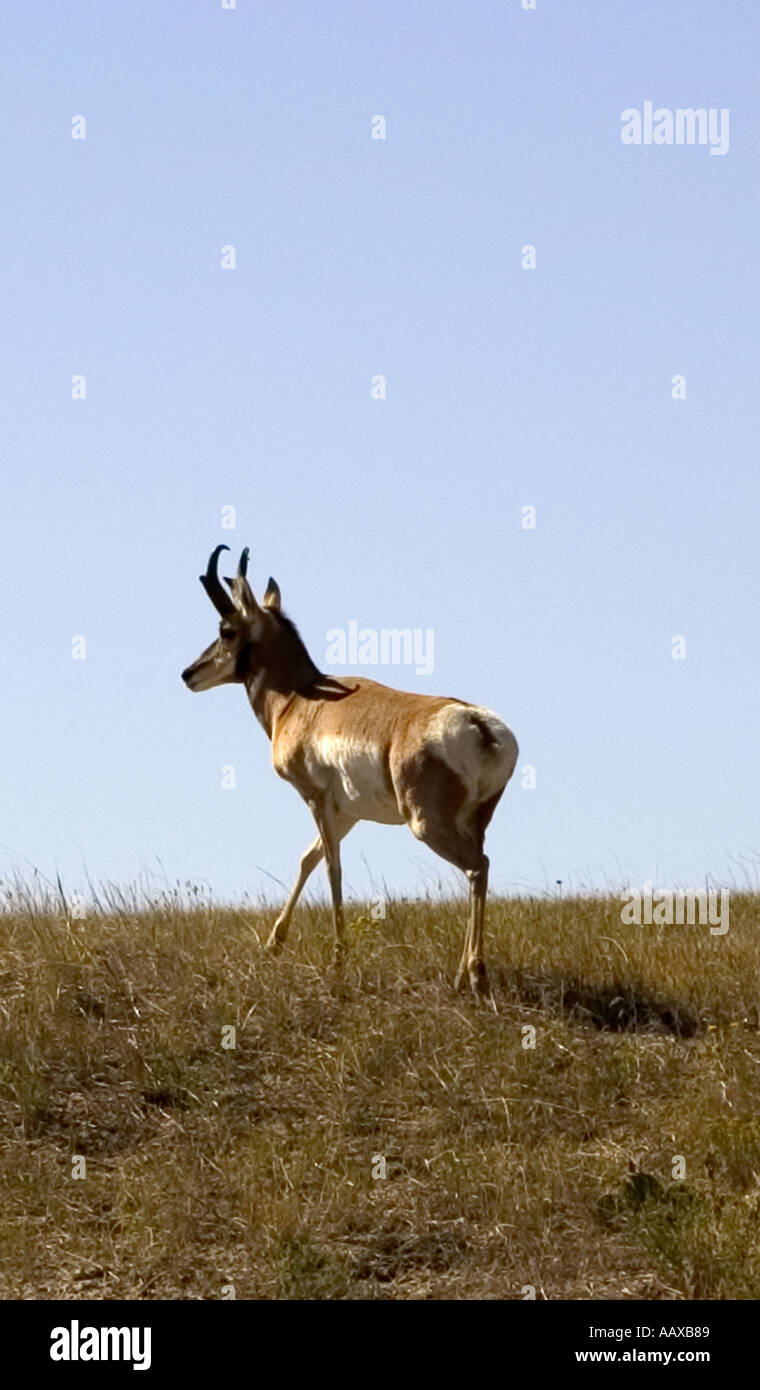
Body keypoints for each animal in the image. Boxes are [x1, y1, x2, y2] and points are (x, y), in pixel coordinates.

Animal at [181, 546, 518, 995]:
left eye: (227, 629)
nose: (188, 674)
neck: (302, 698)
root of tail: (476, 723)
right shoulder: (349, 812)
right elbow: (307, 859)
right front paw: (274, 943)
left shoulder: (315, 799)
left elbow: (331, 867)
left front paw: (338, 959)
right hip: (474, 821)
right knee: (477, 868)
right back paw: (463, 974)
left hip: (426, 824)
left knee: (476, 867)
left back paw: (476, 975)